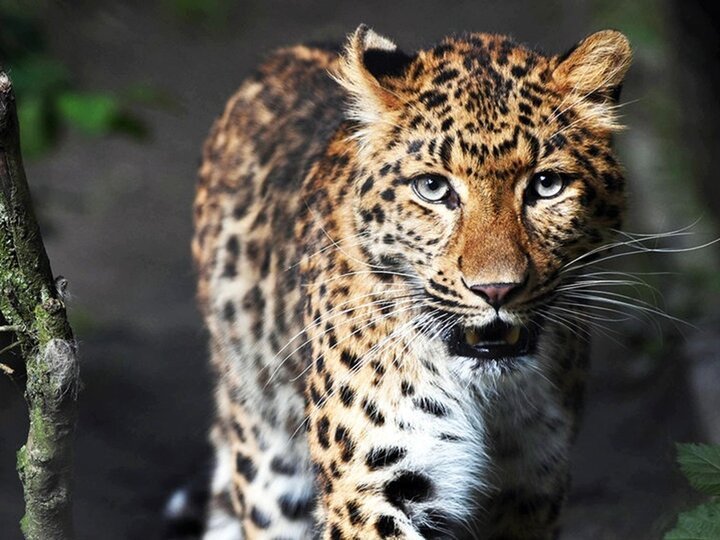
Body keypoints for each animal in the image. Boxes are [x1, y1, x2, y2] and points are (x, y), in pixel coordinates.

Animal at [191, 24, 632, 540]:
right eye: (433, 189)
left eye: (546, 185)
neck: (490, 399)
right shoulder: (370, 484)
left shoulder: (532, 488)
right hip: (268, 458)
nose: (496, 290)